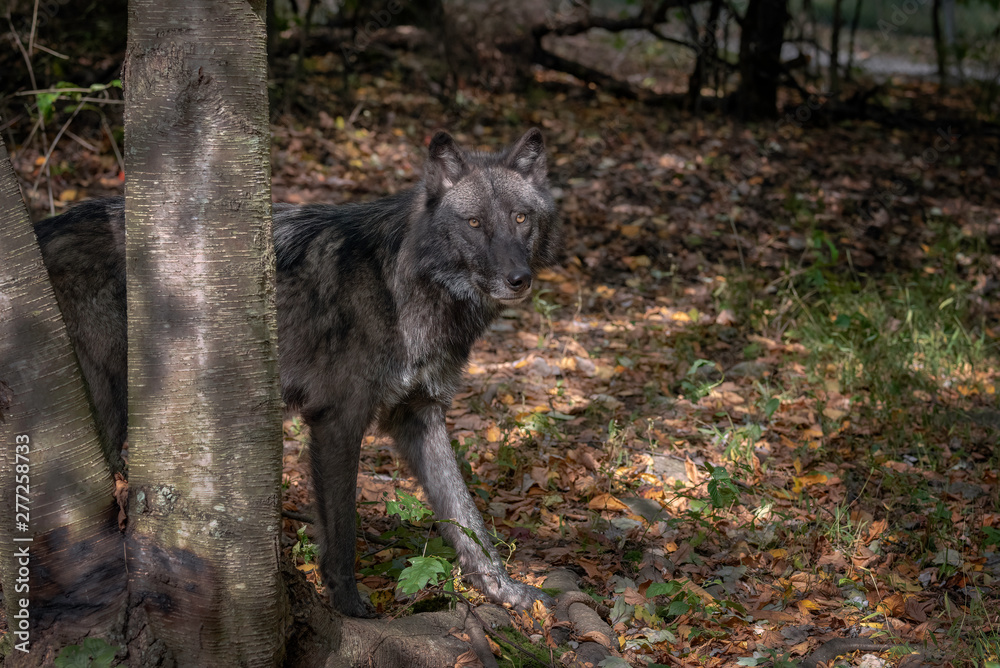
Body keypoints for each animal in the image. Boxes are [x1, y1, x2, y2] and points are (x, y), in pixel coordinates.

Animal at [36, 128, 560, 617]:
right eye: (474, 223)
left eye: (520, 218)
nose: (518, 279)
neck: (405, 284)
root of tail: (41, 231)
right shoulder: (338, 420)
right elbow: (343, 528)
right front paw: (348, 605)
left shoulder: (420, 414)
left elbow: (466, 515)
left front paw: (506, 591)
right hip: (104, 410)